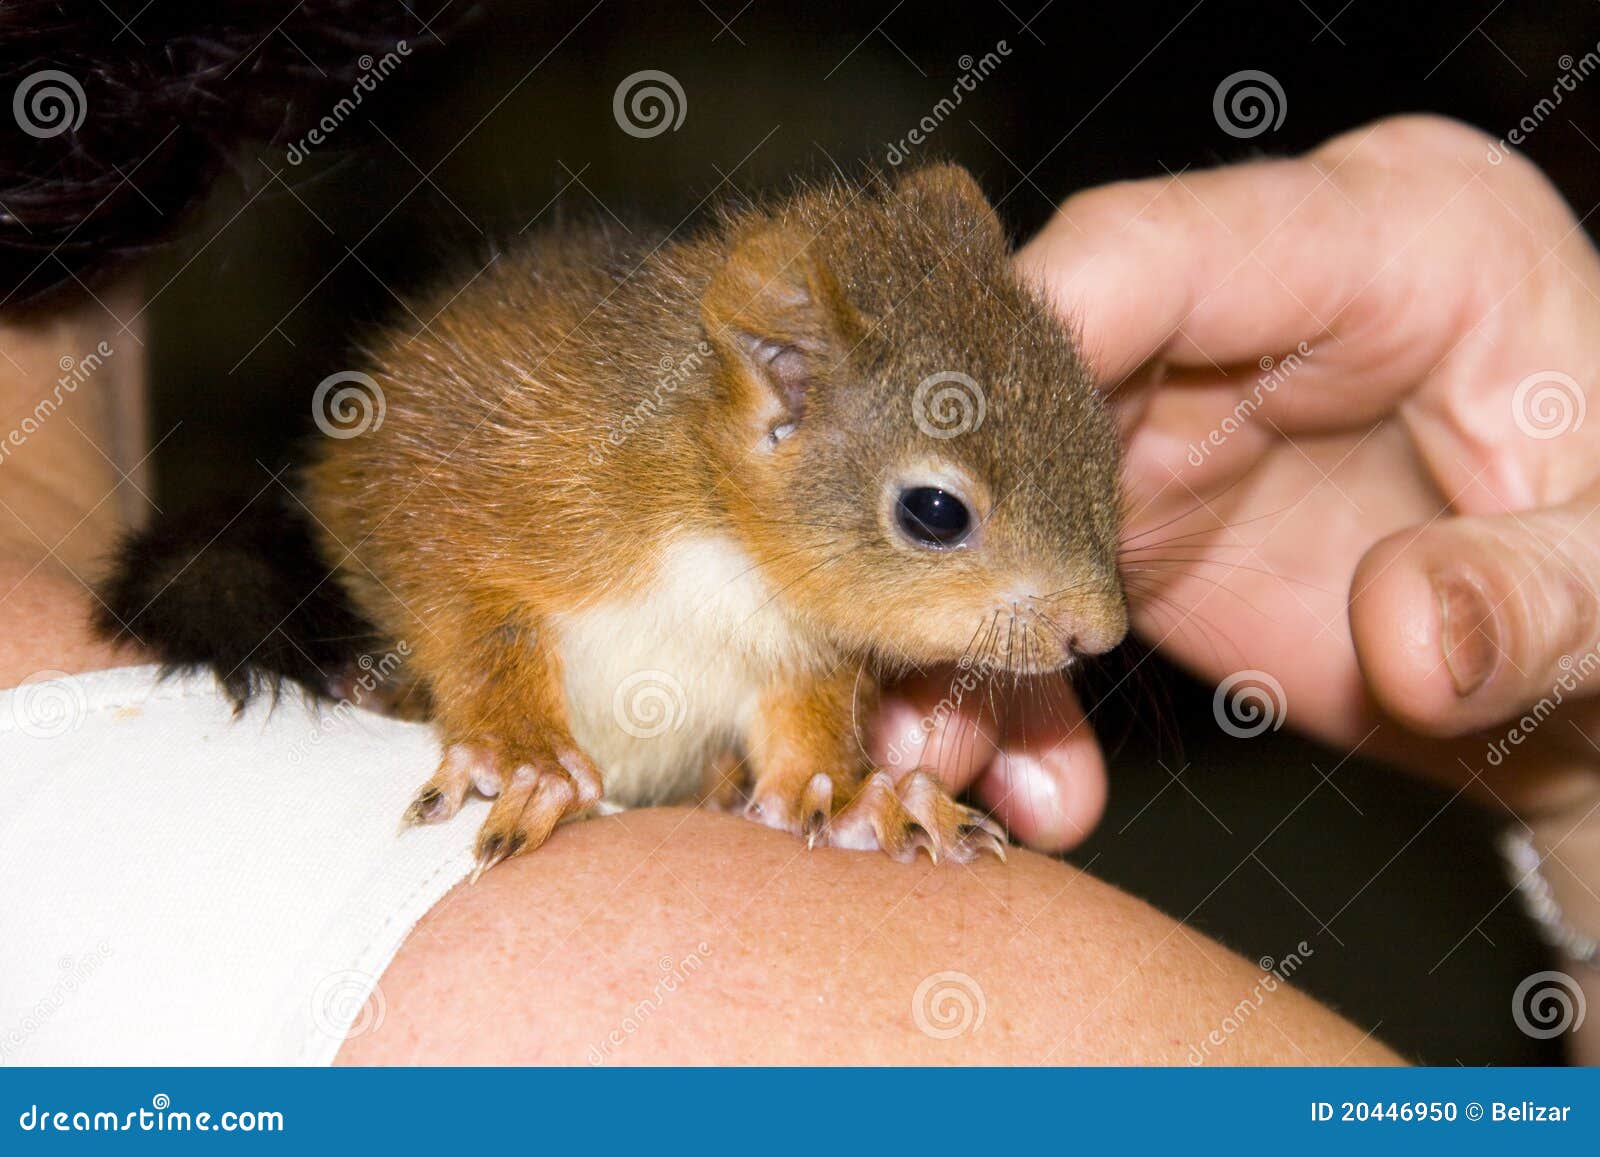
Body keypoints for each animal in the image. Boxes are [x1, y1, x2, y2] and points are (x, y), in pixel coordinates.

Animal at [99, 163, 1128, 874]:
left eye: (1100, 433)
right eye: (935, 512)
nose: (1100, 634)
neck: (723, 536)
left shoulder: (795, 648)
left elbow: (802, 726)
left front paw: (860, 797)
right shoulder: (490, 476)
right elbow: (458, 598)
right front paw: (526, 759)